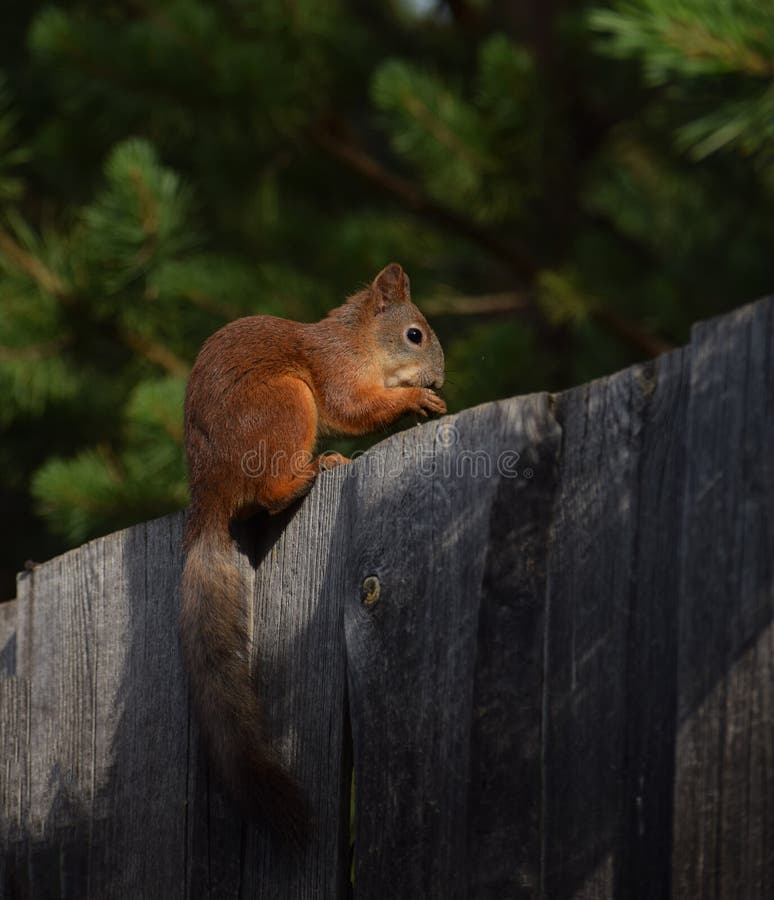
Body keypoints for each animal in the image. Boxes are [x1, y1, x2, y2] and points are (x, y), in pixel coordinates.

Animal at [180, 262, 446, 842]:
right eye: (414, 335)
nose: (438, 381)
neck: (359, 341)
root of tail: (210, 491)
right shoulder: (336, 372)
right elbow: (351, 406)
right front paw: (414, 403)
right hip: (285, 403)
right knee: (270, 492)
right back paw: (314, 469)